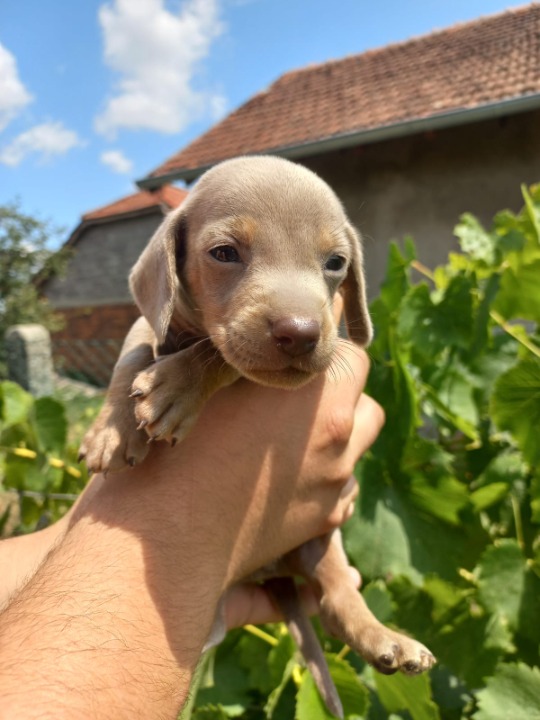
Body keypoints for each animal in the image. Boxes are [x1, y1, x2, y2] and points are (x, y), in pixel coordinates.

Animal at [79, 156, 434, 716]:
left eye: (336, 262)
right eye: (224, 253)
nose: (302, 333)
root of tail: (271, 572)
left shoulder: (242, 362)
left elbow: (219, 355)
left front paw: (175, 385)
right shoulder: (145, 324)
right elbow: (130, 356)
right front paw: (112, 431)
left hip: (323, 540)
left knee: (337, 598)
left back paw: (387, 640)